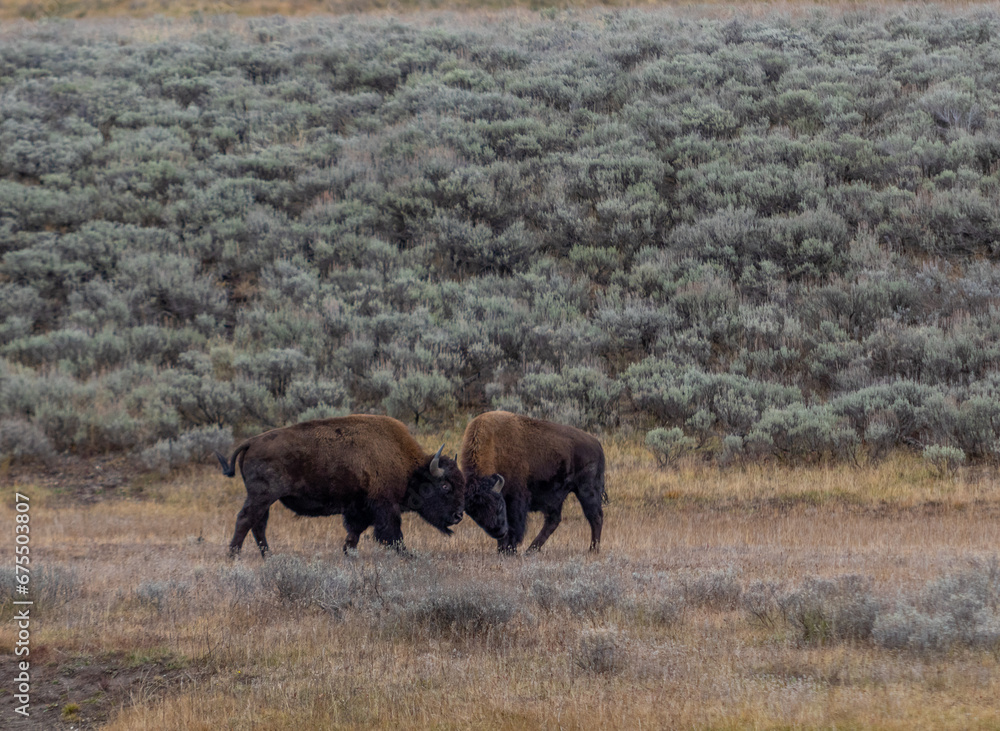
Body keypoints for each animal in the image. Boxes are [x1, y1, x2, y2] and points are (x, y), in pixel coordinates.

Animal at [215, 415, 465, 556]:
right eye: (445, 486)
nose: (458, 516)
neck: (408, 465)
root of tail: (251, 442)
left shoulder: (360, 508)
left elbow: (355, 531)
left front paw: (348, 552)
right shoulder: (385, 506)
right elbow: (392, 533)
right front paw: (408, 555)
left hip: (265, 499)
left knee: (258, 524)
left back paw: (268, 555)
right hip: (262, 496)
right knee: (246, 520)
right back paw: (234, 555)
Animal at [460, 411, 606, 553]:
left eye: (499, 507)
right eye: (476, 516)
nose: (500, 532)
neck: (493, 445)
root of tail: (597, 444)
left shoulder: (516, 499)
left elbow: (515, 524)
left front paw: (509, 549)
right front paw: (502, 549)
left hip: (587, 490)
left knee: (595, 517)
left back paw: (593, 550)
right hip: (557, 498)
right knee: (553, 520)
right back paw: (531, 549)